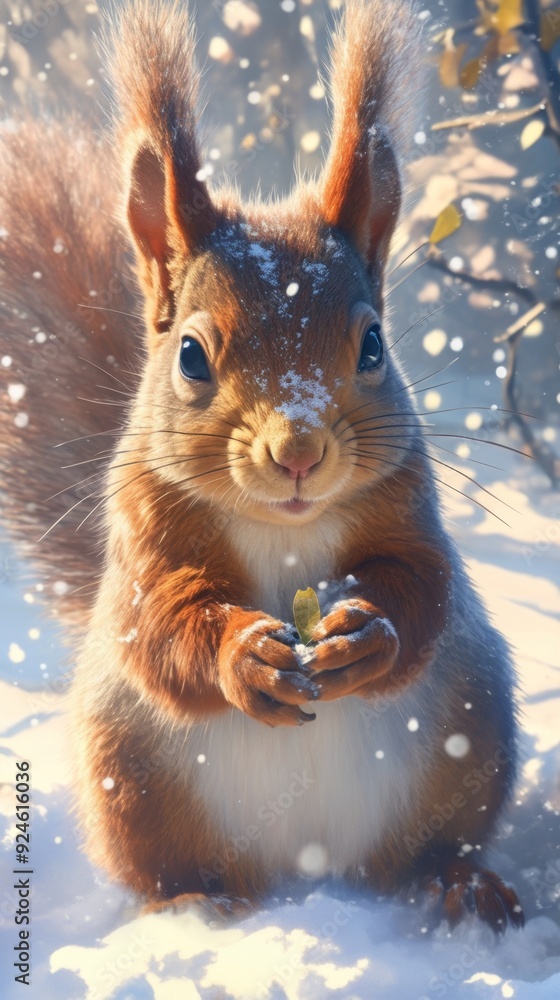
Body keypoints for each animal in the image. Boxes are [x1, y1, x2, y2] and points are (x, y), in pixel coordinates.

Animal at [0, 0, 524, 931]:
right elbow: (158, 621)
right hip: (131, 779)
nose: (299, 450)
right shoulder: (143, 538)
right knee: (168, 864)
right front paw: (241, 656)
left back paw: (458, 883)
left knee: (427, 851)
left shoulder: (412, 510)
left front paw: (366, 633)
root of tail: (308, 870)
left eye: (374, 346)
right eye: (190, 355)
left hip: (470, 741)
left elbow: (421, 586)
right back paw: (195, 902)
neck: (284, 529)